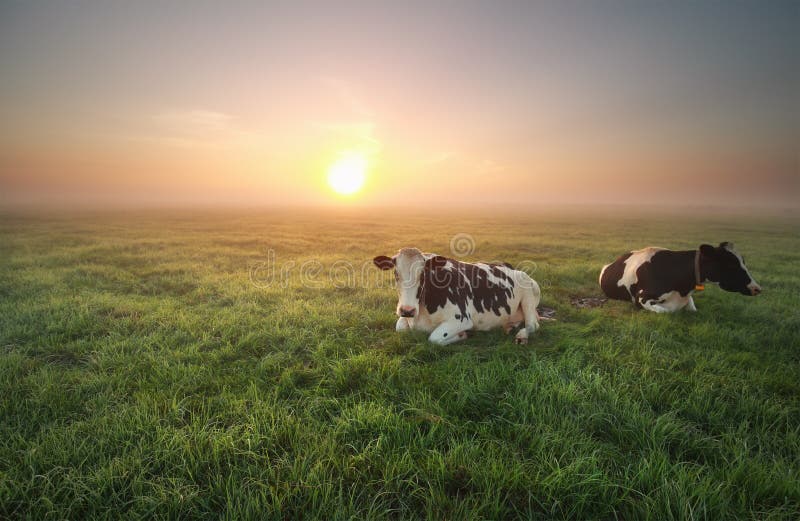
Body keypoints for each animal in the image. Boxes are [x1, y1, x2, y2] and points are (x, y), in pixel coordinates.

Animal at [373, 248, 542, 345]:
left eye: (423, 274)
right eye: (396, 273)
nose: (407, 310)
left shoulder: (461, 319)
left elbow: (434, 338)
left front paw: (464, 335)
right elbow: (400, 327)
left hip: (529, 294)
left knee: (532, 325)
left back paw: (521, 336)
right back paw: (509, 327)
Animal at [599, 242, 761, 313]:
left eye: (743, 261)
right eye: (731, 265)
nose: (757, 288)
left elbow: (693, 308)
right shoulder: (641, 297)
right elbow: (665, 311)